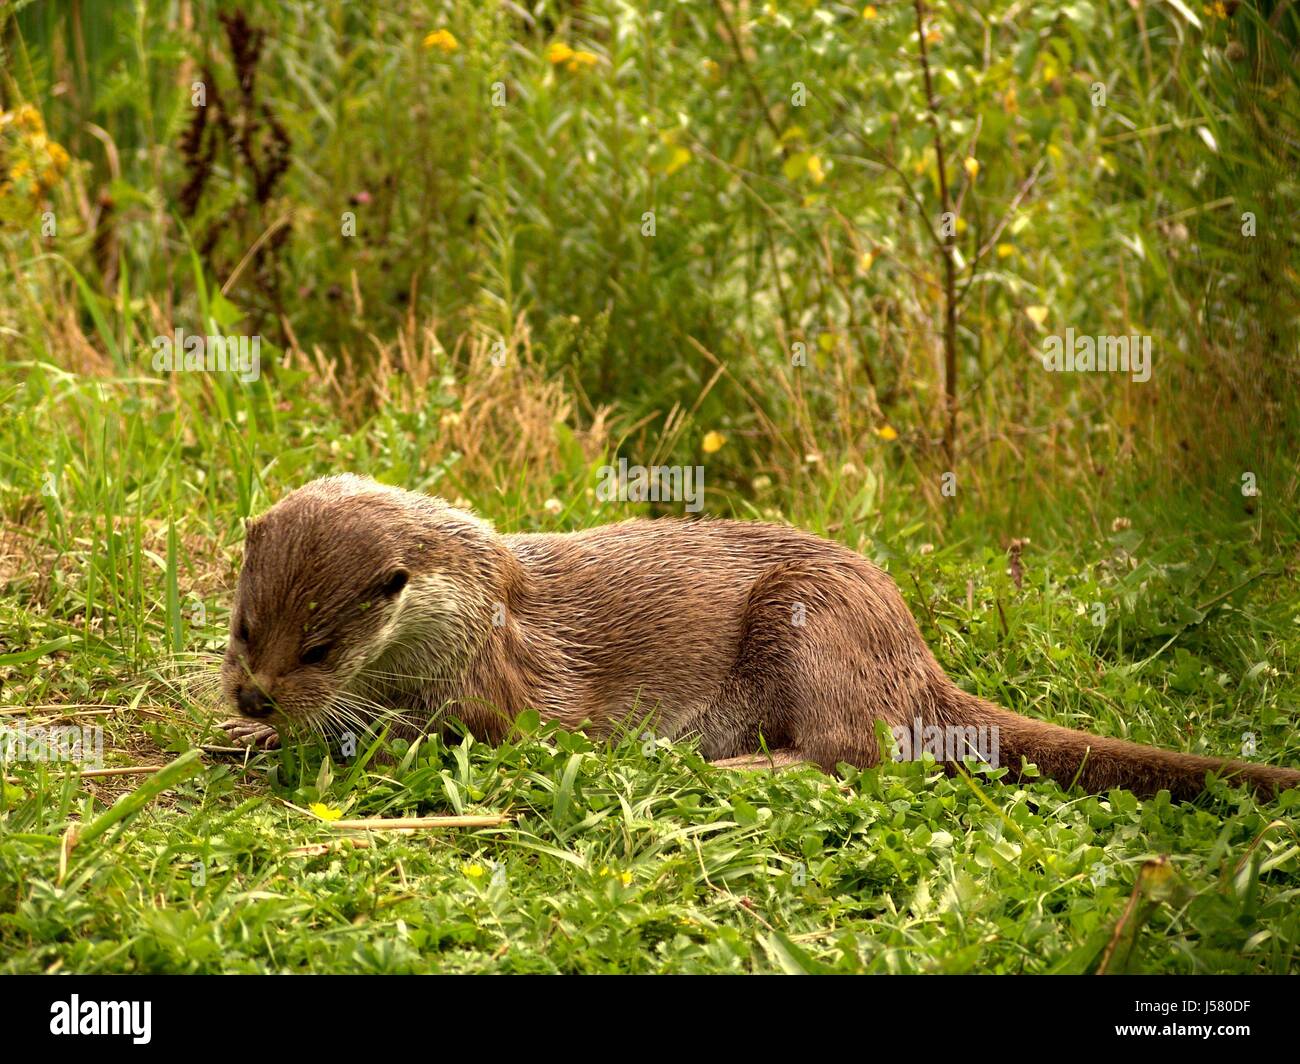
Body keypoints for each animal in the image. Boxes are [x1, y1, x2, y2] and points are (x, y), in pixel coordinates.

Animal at [218, 475, 1300, 799]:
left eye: (319, 649)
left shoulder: (503, 684)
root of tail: (914, 649)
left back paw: (723, 764)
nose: (254, 691)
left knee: (850, 750)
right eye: (243, 626)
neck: (475, 605)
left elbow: (472, 732)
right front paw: (242, 734)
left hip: (813, 617)